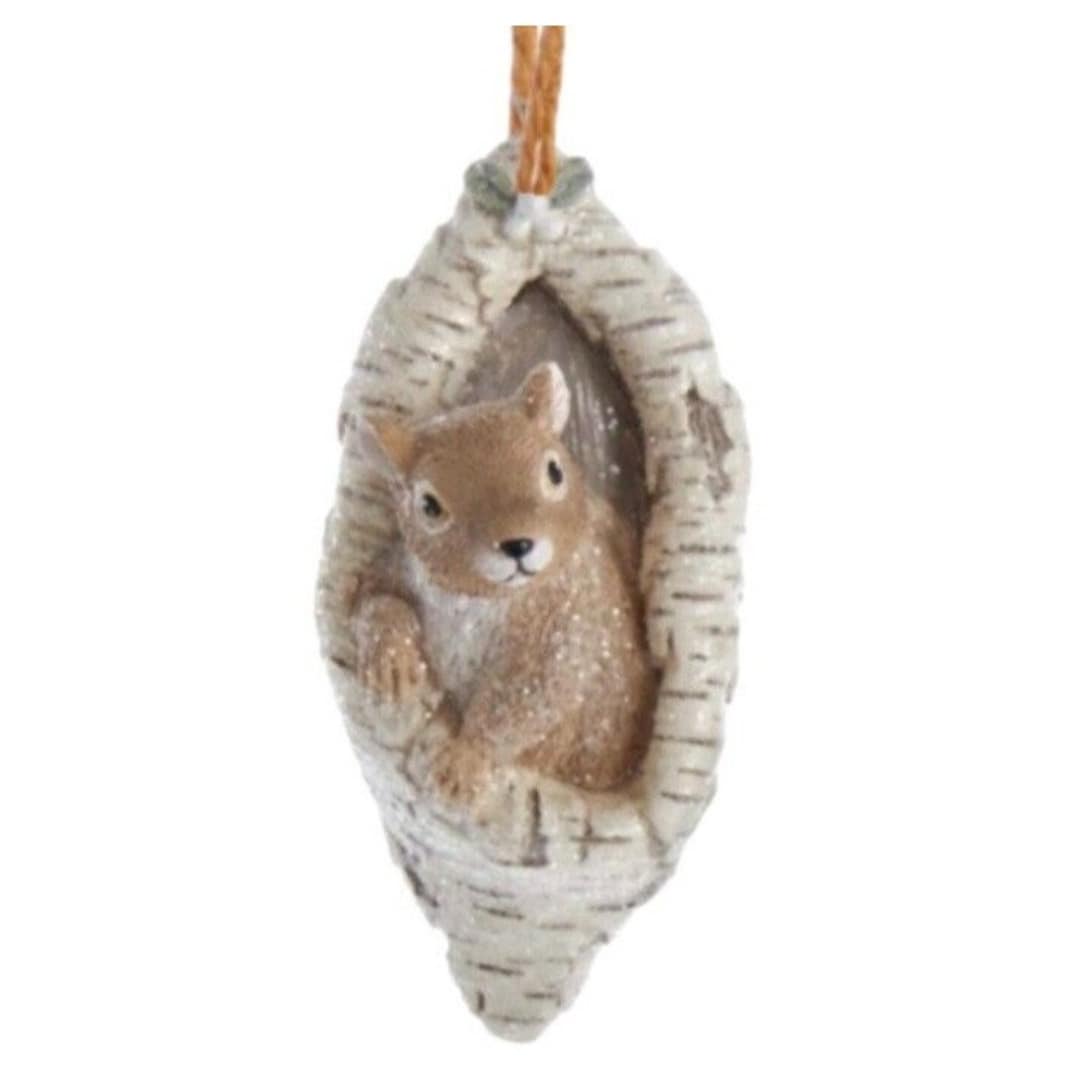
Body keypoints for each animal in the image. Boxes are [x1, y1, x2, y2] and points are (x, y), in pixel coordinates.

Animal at [353, 362, 654, 799]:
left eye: (555, 471)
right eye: (428, 505)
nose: (518, 545)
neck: (479, 599)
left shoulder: (569, 619)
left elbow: (526, 696)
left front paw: (464, 759)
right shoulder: (404, 569)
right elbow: (372, 595)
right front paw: (391, 656)